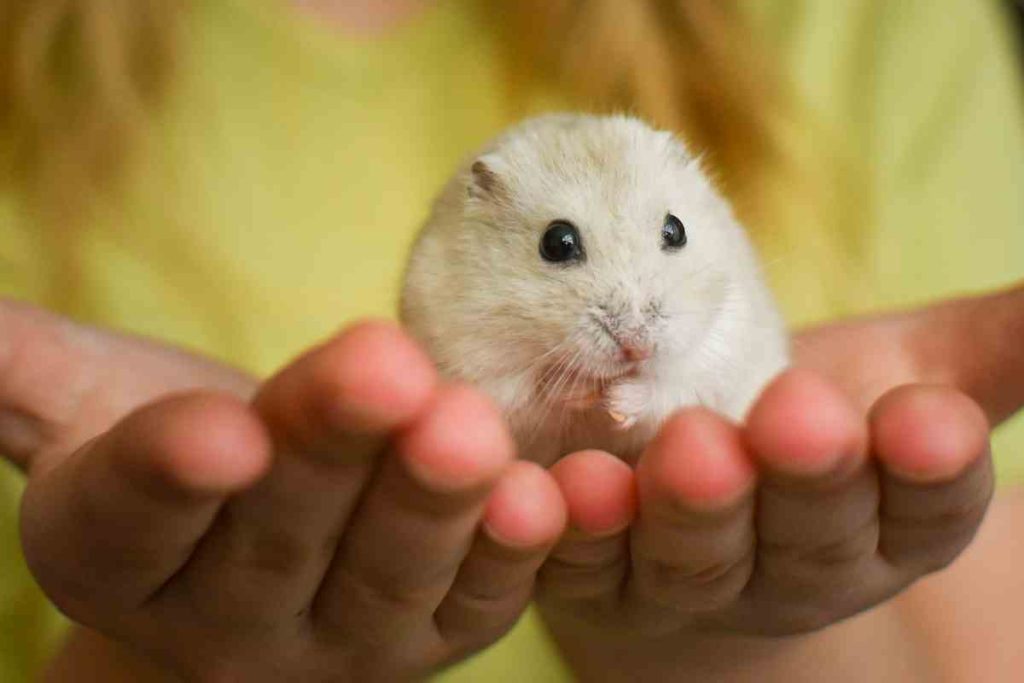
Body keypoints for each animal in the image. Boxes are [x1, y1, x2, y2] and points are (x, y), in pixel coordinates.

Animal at [401, 114, 789, 465]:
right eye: (557, 242)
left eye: (676, 229)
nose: (637, 347)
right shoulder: (475, 363)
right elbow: (535, 387)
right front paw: (585, 391)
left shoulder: (723, 346)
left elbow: (670, 387)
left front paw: (616, 403)